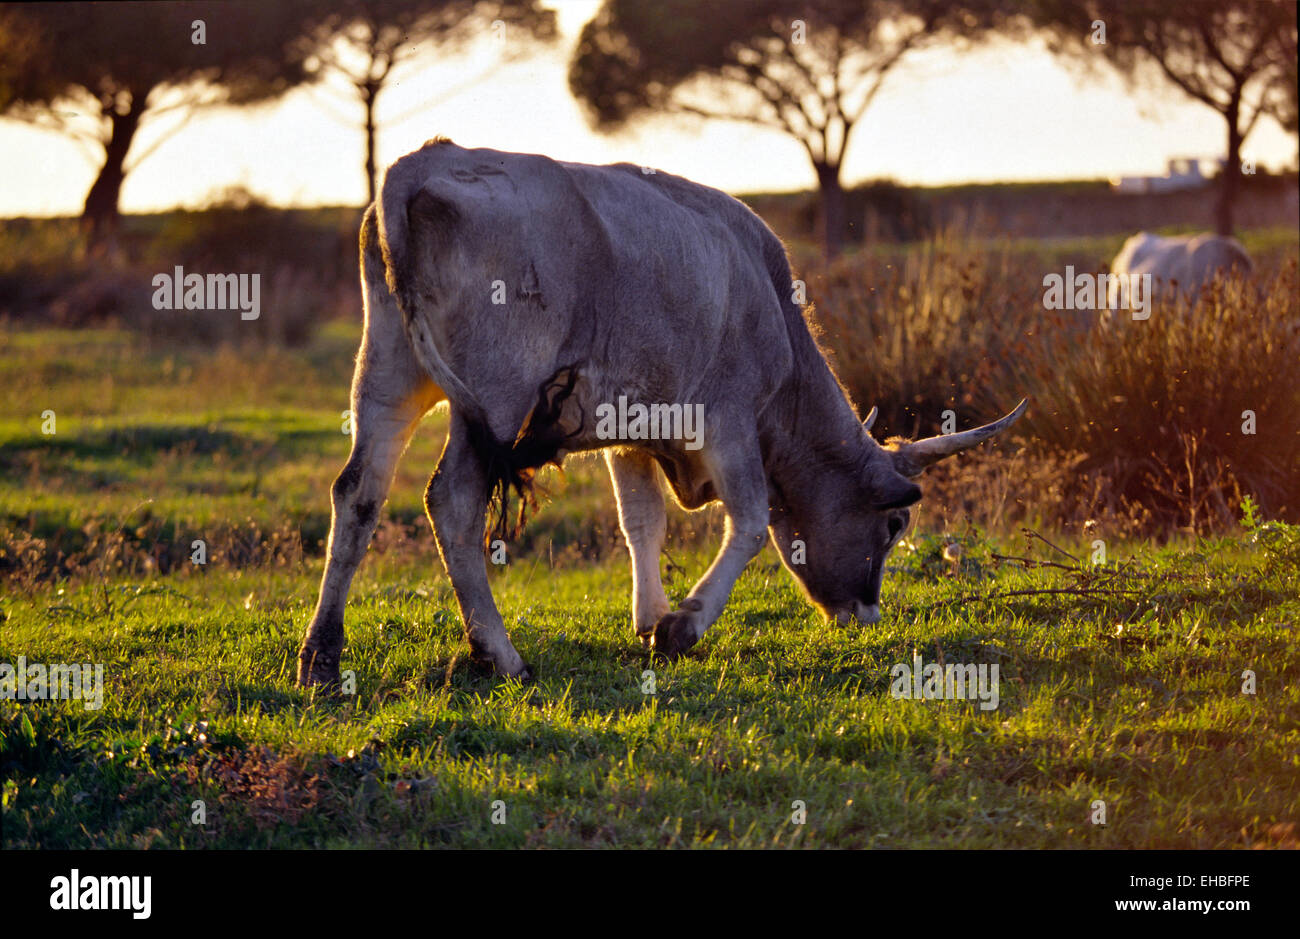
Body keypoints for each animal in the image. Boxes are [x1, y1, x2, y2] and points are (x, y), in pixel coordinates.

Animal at [296, 138, 1027, 687]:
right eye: (896, 523)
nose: (865, 615)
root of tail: (422, 164)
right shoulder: (728, 419)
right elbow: (750, 520)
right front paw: (683, 624)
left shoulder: (632, 434)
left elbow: (641, 521)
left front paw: (649, 617)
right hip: (495, 401)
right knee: (451, 502)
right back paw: (499, 655)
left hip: (389, 378)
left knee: (359, 492)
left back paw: (322, 655)